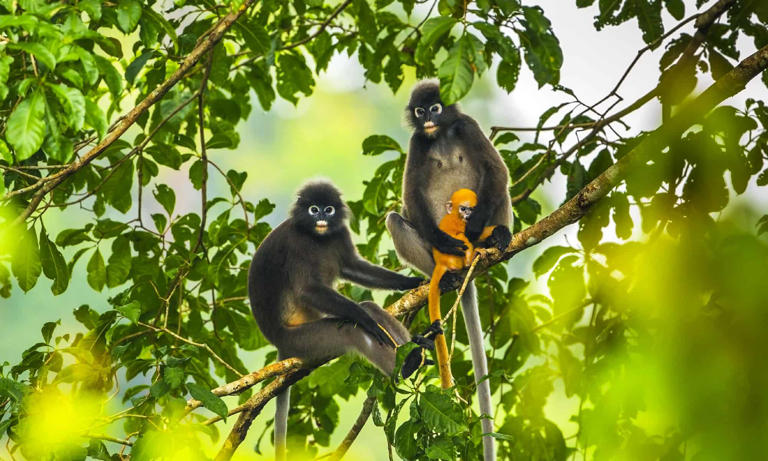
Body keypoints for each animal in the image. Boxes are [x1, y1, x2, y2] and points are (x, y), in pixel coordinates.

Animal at [248, 180, 423, 461]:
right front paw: (364, 319)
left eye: (328, 209)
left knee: (370, 307)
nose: (321, 217)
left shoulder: (339, 235)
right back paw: (403, 366)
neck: (318, 237)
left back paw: (417, 352)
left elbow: (352, 267)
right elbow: (308, 291)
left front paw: (410, 282)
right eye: (314, 209)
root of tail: (278, 342)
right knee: (351, 332)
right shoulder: (296, 246)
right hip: (304, 340)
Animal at [386, 81, 512, 461]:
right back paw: (447, 276)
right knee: (395, 218)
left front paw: (475, 231)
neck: (438, 136)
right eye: (419, 110)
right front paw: (449, 238)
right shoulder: (418, 142)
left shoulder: (467, 126)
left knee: (499, 187)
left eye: (436, 108)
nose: (427, 118)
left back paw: (496, 237)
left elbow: (497, 172)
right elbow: (410, 197)